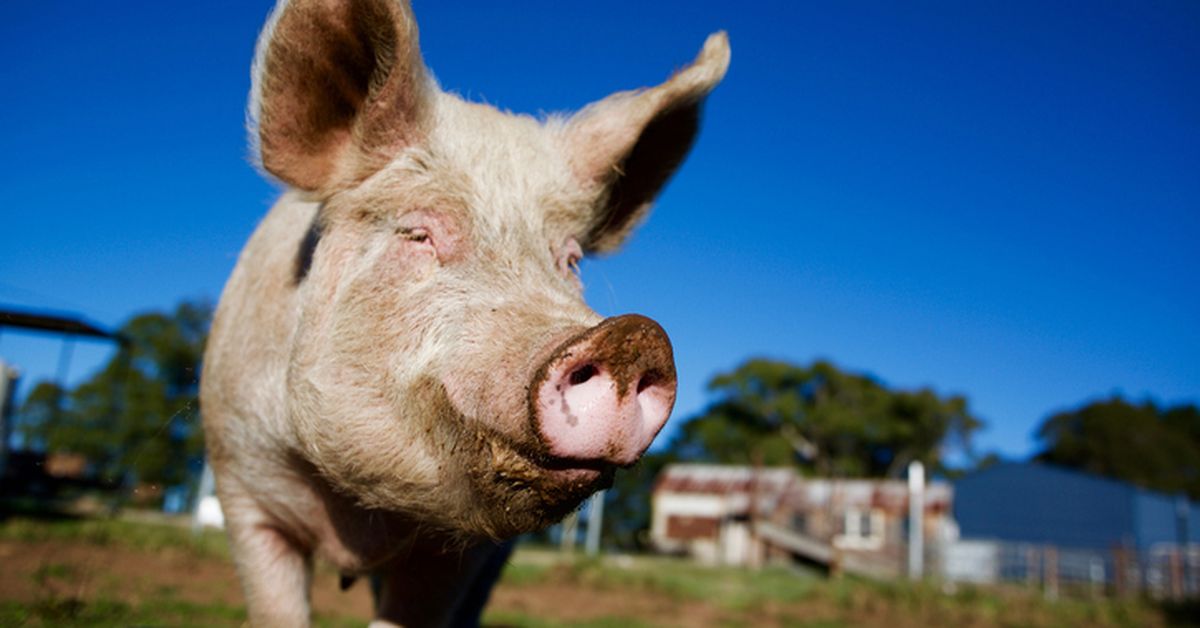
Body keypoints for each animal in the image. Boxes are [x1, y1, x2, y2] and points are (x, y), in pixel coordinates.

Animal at [199, 0, 728, 625]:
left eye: (570, 260)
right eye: (419, 233)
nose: (633, 336)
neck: (355, 522)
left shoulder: (467, 555)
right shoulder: (243, 488)